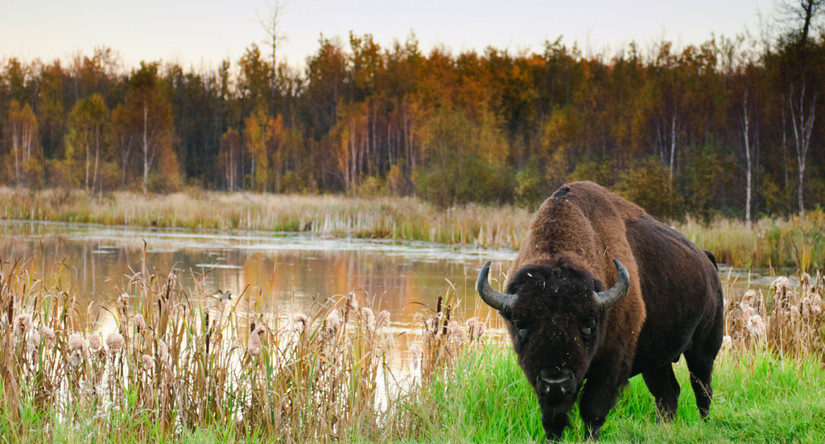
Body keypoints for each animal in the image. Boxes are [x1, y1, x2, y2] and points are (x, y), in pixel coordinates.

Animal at [477, 181, 723, 441]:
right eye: (521, 324)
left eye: (588, 322)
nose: (556, 381)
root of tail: (706, 259)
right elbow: (552, 418)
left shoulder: (609, 365)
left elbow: (593, 410)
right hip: (657, 360)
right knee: (668, 392)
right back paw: (662, 430)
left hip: (704, 349)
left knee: (702, 388)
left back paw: (704, 424)